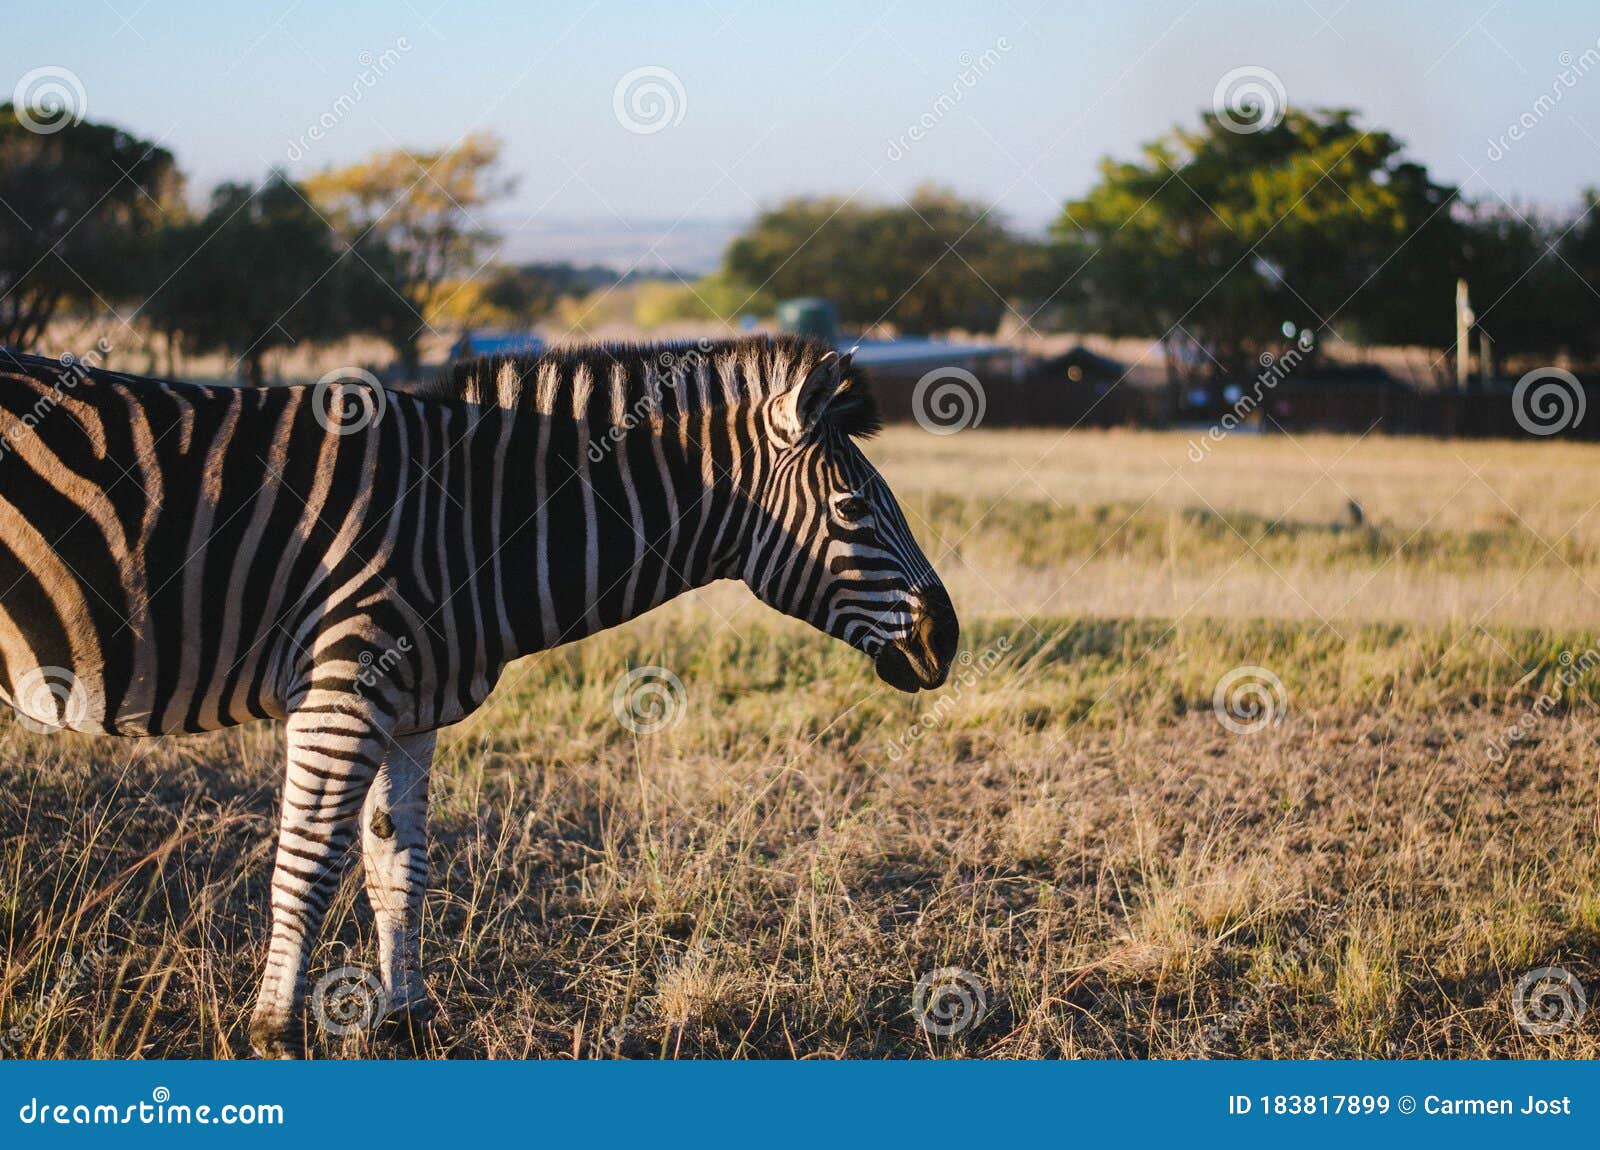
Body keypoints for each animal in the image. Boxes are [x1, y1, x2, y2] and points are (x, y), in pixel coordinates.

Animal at [0, 335, 958, 1056]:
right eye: (852, 508)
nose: (946, 640)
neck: (471, 523)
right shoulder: (343, 685)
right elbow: (308, 866)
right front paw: (276, 1036)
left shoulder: (407, 705)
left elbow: (399, 865)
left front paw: (410, 1024)